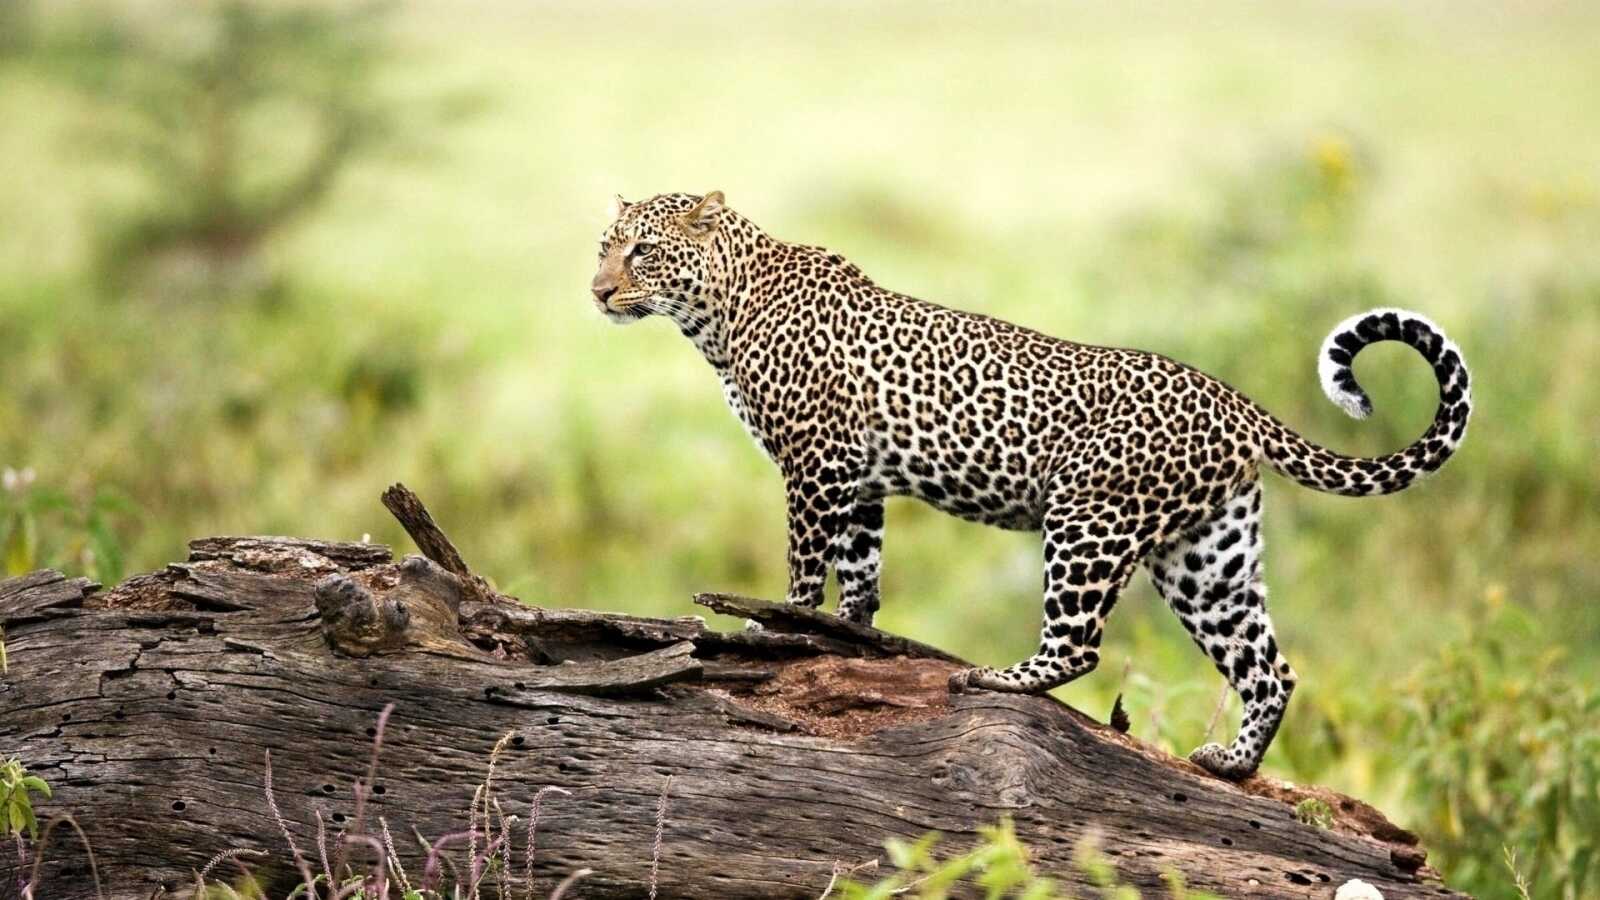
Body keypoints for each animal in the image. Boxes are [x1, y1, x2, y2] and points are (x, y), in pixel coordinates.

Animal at [589, 191, 1472, 779]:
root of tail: (1235, 401)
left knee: (1079, 645)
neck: (717, 313)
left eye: (643, 252)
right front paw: (848, 636)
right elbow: (862, 573)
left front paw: (771, 632)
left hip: (1088, 521)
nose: (598, 292)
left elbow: (806, 568)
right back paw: (1232, 764)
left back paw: (996, 676)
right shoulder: (860, 479)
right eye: (604, 246)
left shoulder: (814, 465)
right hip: (1206, 558)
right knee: (1268, 668)